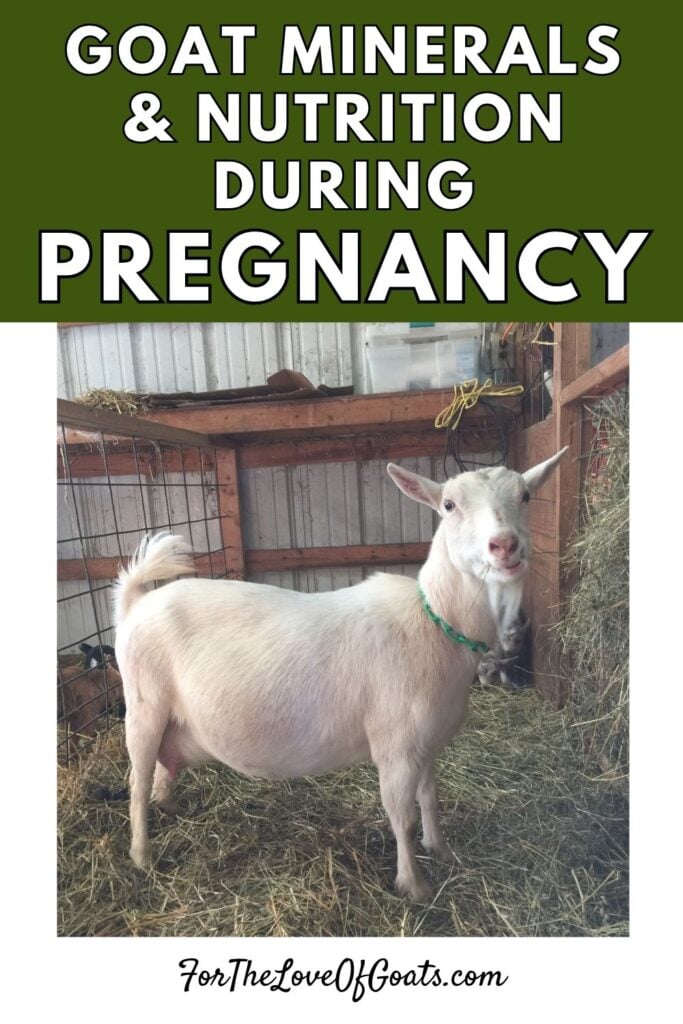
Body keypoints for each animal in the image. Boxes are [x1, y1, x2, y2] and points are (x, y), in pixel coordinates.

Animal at [115, 449, 566, 899]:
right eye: (449, 505)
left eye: (526, 495)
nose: (505, 545)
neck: (435, 622)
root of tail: (137, 602)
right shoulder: (396, 745)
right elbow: (402, 817)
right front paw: (413, 884)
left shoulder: (426, 743)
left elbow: (430, 798)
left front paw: (441, 849)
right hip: (143, 706)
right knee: (137, 782)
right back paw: (141, 855)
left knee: (161, 770)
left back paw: (169, 806)